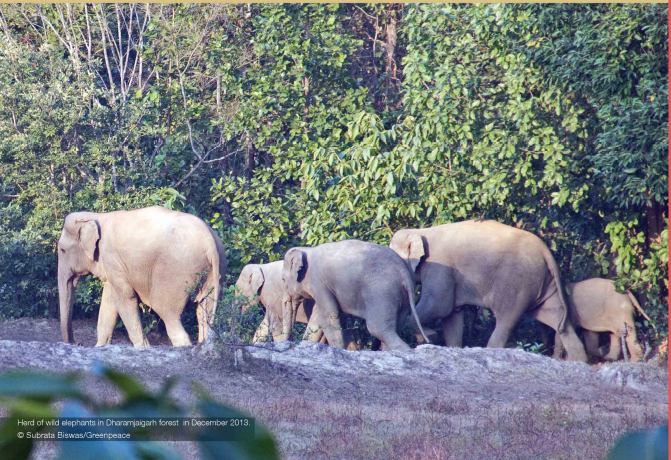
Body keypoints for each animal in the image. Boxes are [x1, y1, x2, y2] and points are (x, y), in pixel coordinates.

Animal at [57, 206, 226, 348]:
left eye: (62, 250)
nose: (77, 343)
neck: (95, 216)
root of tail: (210, 242)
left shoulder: (111, 256)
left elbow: (125, 297)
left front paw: (142, 348)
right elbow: (110, 300)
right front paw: (100, 347)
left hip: (177, 270)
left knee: (166, 311)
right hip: (213, 271)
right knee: (205, 311)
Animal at [281, 240, 428, 351]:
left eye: (283, 280)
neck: (307, 251)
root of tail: (404, 272)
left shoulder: (318, 281)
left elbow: (328, 316)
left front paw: (338, 349)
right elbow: (318, 318)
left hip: (381, 293)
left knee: (378, 328)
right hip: (402, 298)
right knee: (396, 326)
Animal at [389, 220, 588, 362]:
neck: (421, 231)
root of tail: (546, 251)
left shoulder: (439, 268)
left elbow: (439, 305)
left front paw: (429, 336)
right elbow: (452, 315)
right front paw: (448, 345)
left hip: (516, 281)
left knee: (506, 318)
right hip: (543, 281)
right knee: (554, 316)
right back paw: (578, 361)